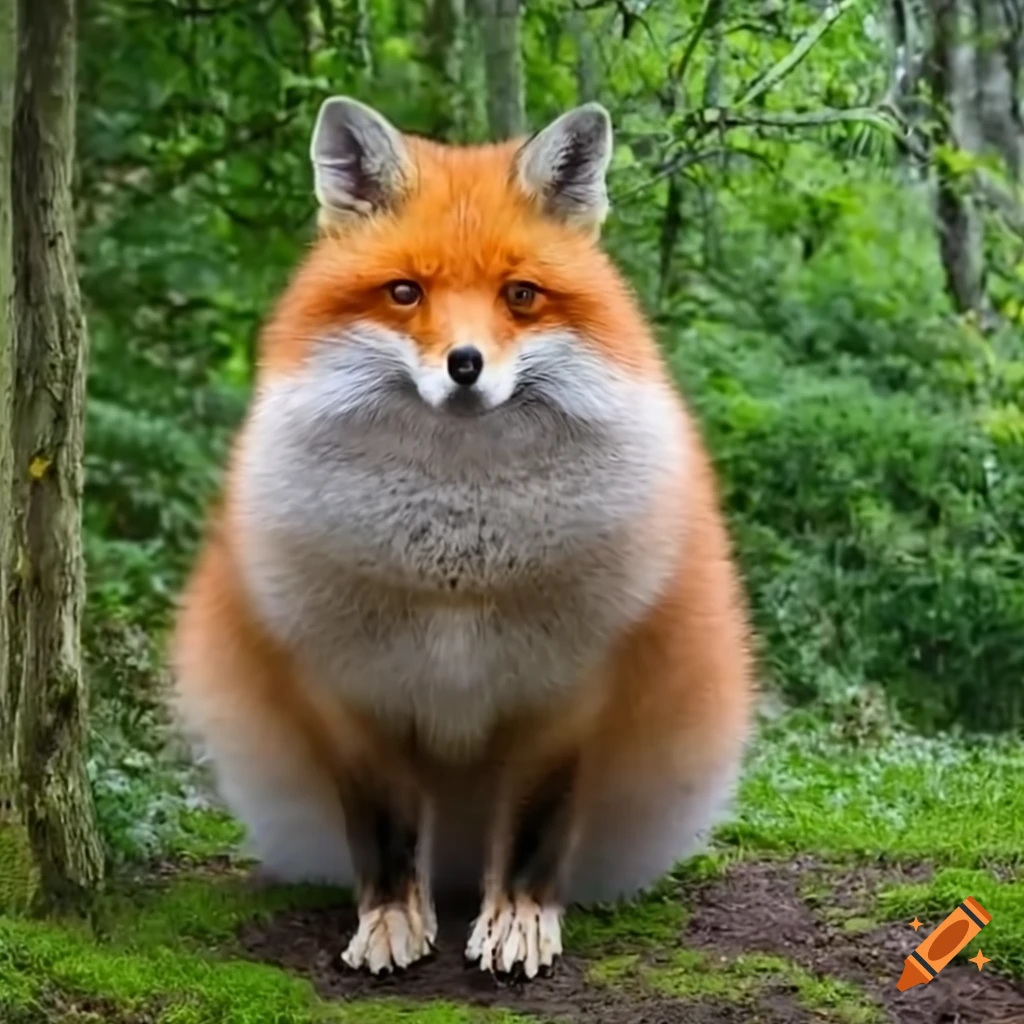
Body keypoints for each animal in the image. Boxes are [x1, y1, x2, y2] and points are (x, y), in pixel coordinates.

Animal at [170, 96, 755, 981]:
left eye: (520, 295)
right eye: (405, 293)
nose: (465, 364)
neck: (459, 569)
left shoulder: (565, 693)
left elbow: (535, 832)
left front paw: (519, 924)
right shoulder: (355, 691)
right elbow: (382, 832)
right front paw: (386, 924)